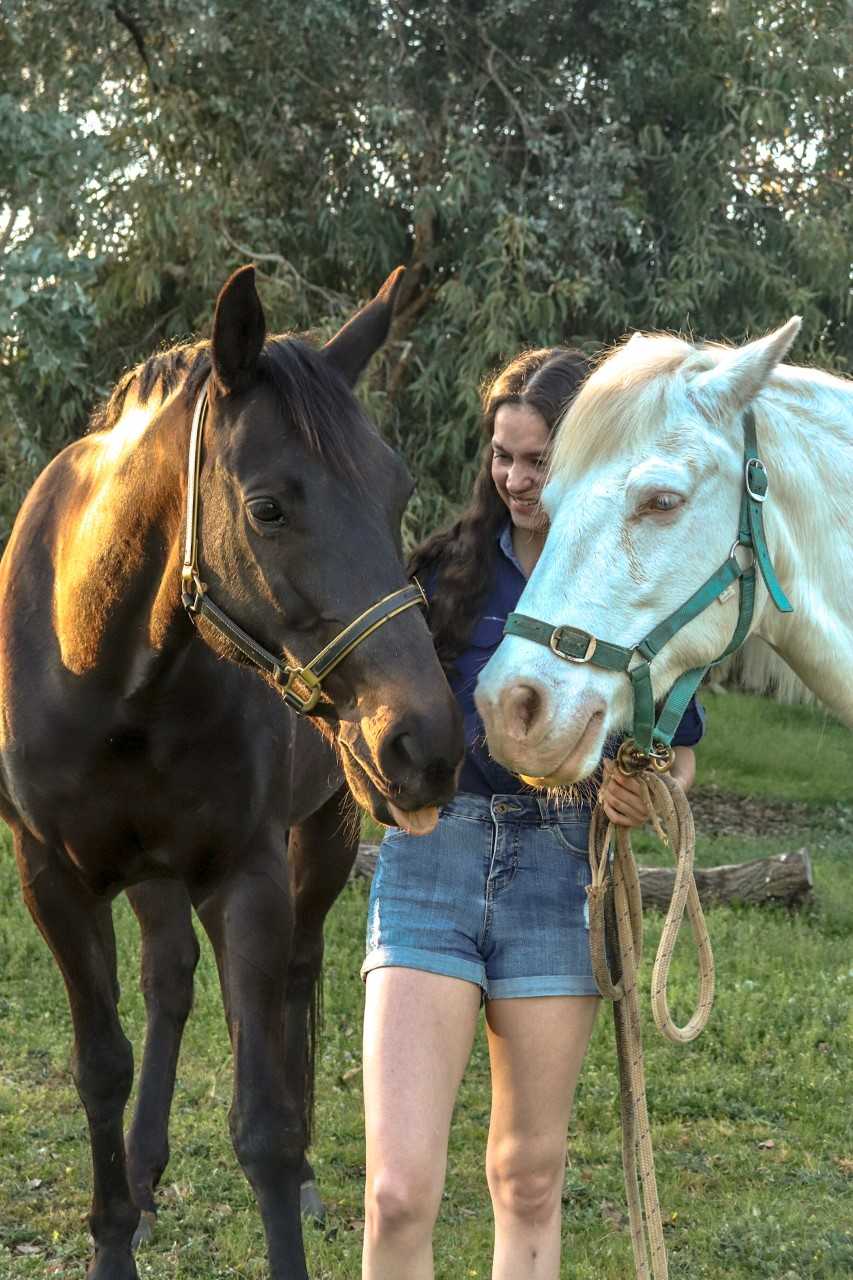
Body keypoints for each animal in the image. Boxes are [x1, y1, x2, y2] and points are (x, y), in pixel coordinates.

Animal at [0, 263, 463, 1280]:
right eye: (267, 508)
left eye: (397, 492)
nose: (425, 746)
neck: (99, 665)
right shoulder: (56, 881)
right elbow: (102, 1067)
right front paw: (113, 1234)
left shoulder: (245, 878)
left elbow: (266, 1127)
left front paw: (286, 1182)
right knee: (168, 982)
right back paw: (143, 1174)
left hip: (319, 839)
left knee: (293, 979)